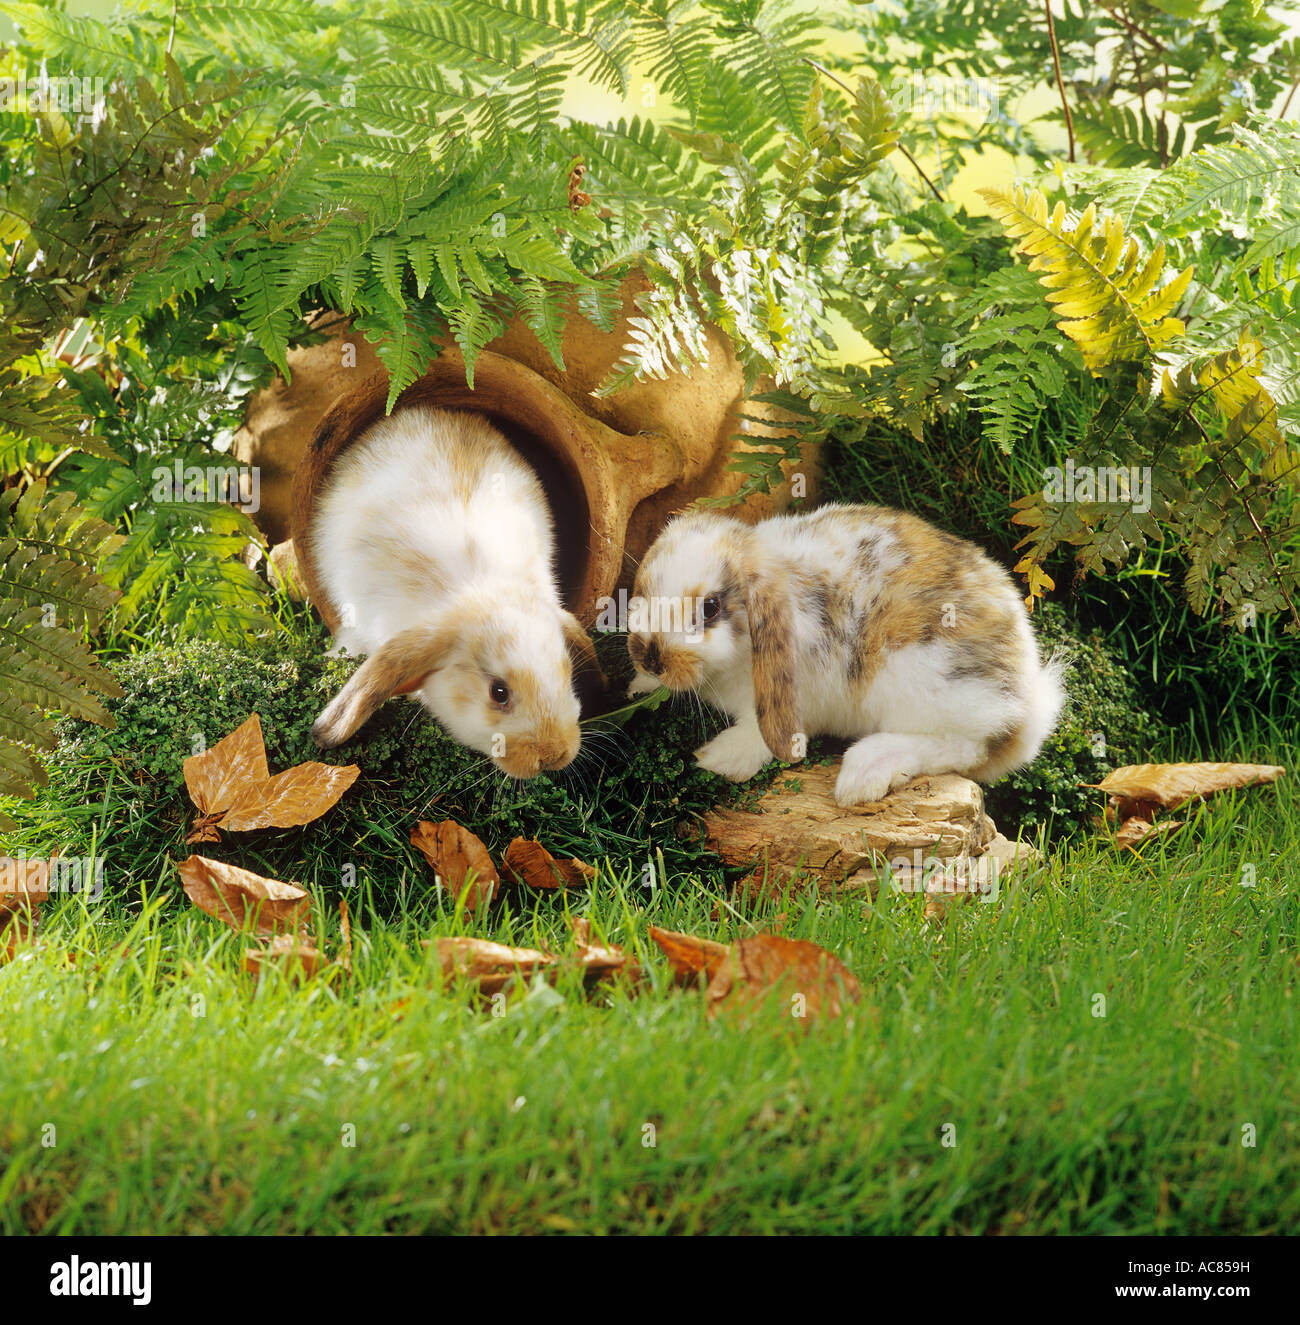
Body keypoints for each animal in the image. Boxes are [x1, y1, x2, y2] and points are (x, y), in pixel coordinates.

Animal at [625, 503, 1065, 806]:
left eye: (711, 607)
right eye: (643, 590)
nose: (651, 659)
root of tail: (1025, 704)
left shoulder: (782, 707)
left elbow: (759, 737)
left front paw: (718, 758)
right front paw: (637, 686)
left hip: (919, 684)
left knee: (967, 748)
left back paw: (865, 771)